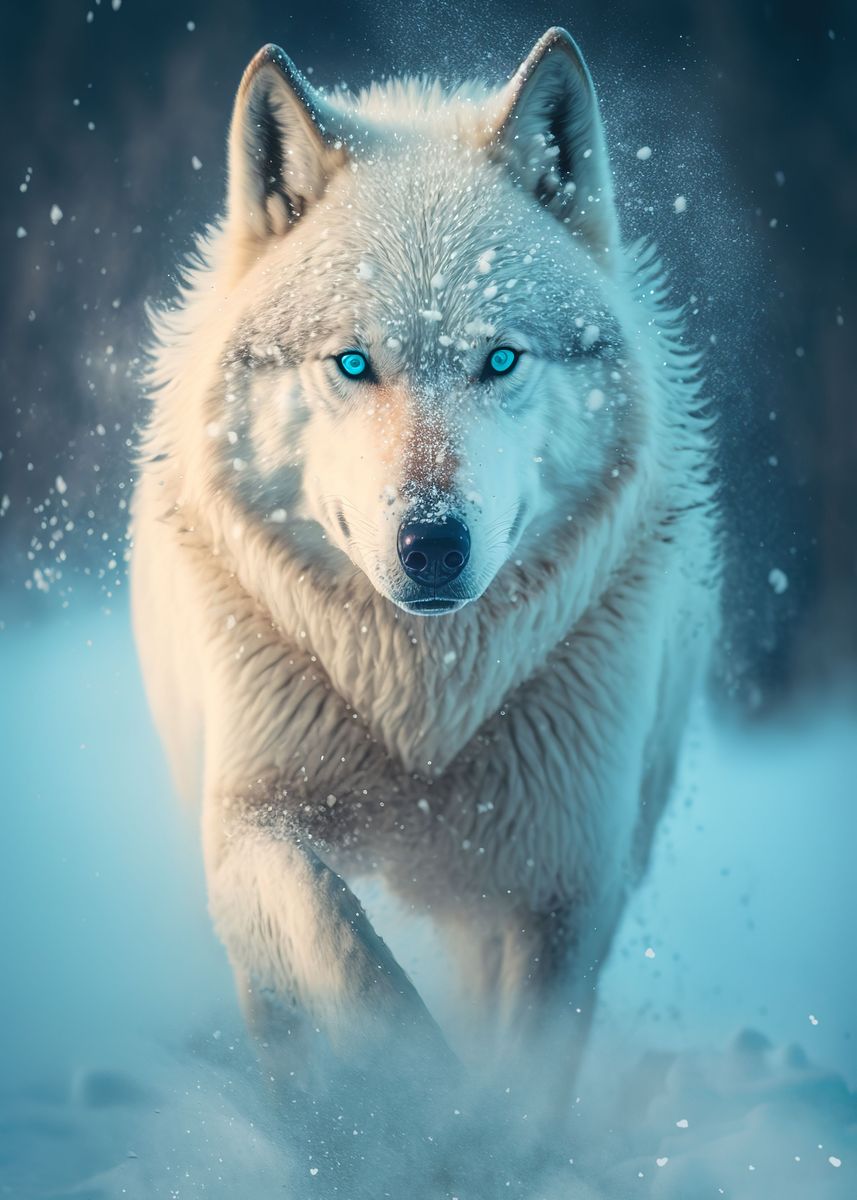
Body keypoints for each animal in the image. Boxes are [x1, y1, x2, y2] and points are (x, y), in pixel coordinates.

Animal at [132, 26, 718, 1097]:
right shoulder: (248, 824)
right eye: (353, 363)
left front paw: (469, 1125)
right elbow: (345, 953)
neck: (423, 712)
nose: (433, 545)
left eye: (500, 360)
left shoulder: (569, 885)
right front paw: (407, 1100)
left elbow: (526, 1078)